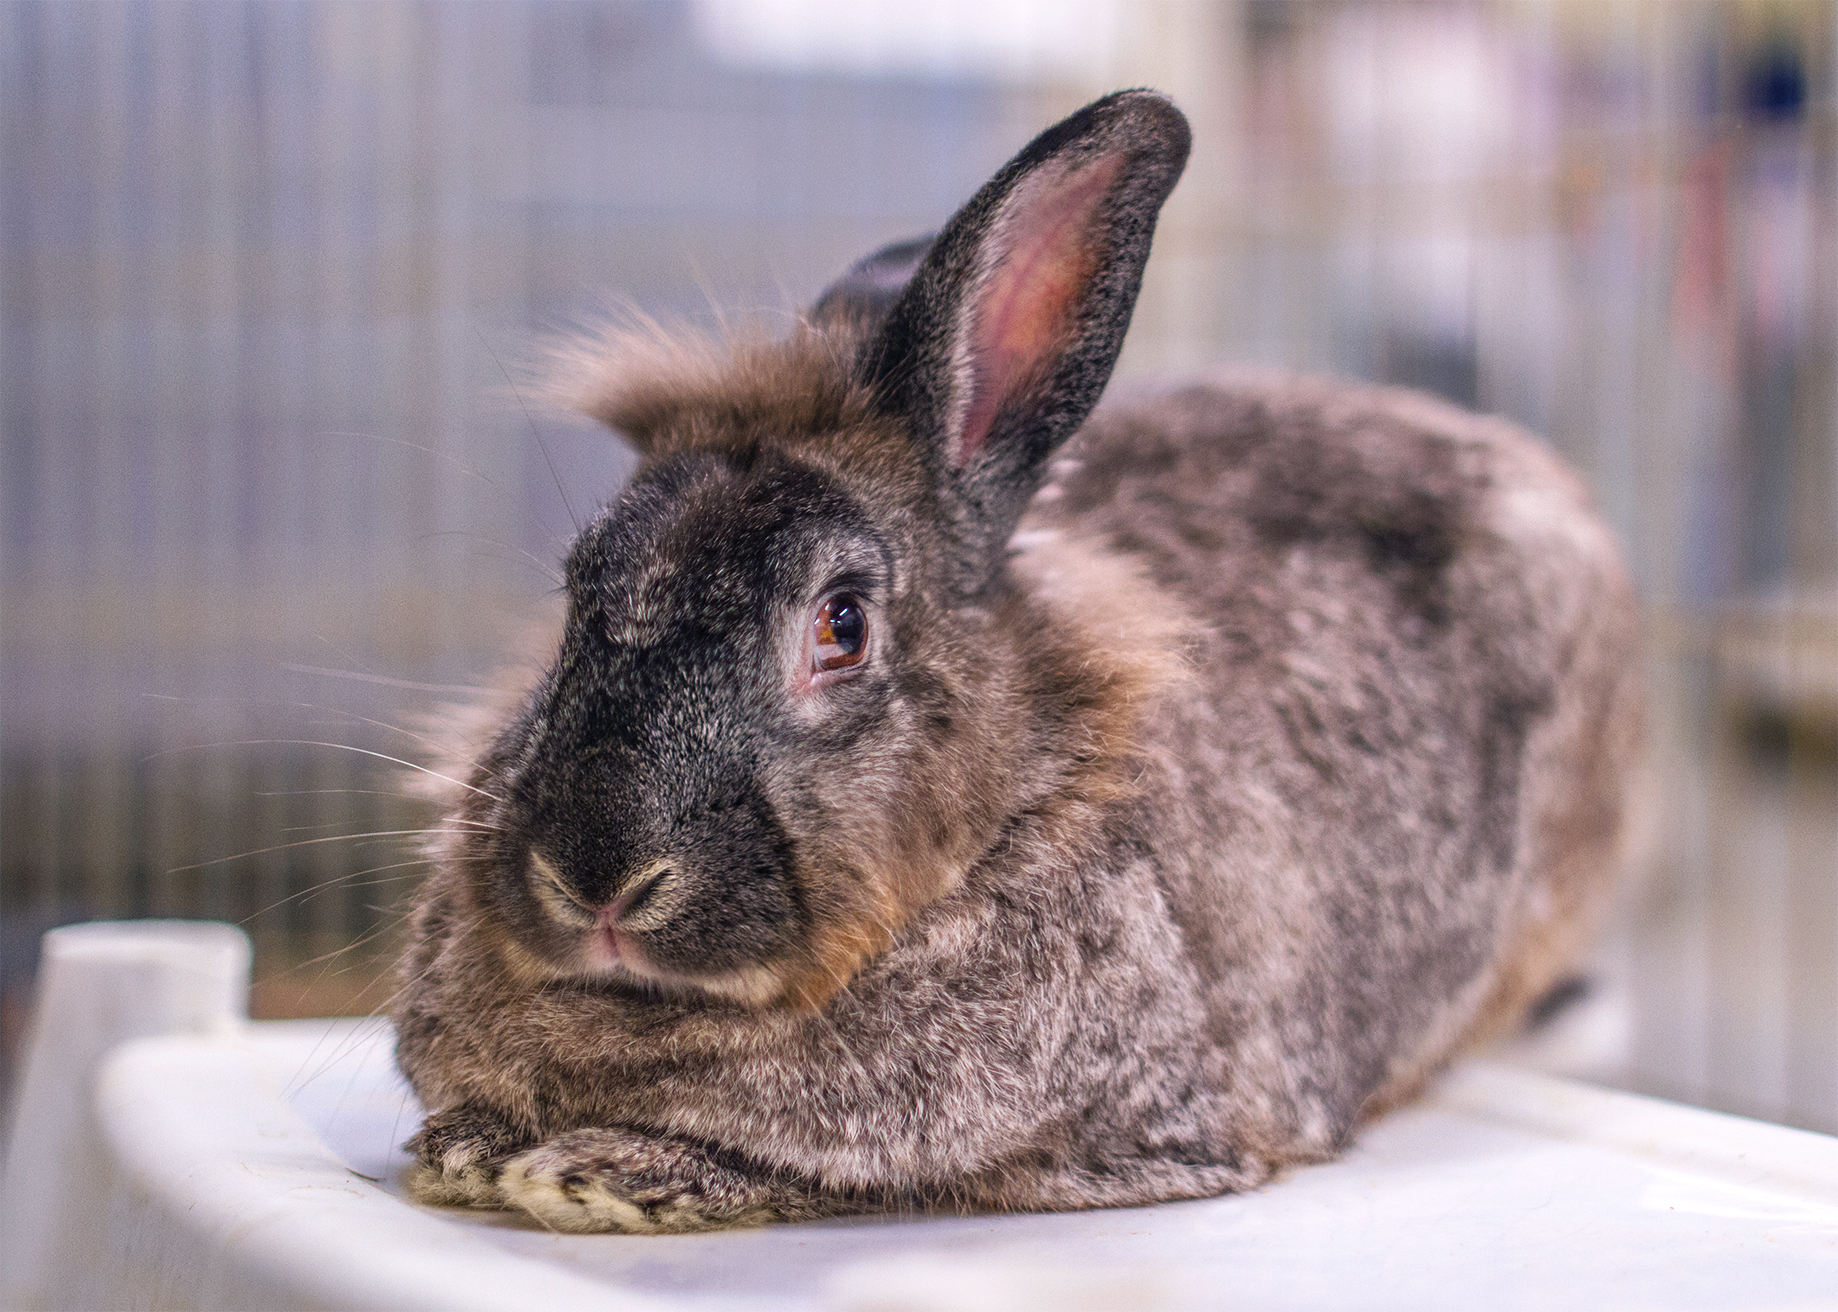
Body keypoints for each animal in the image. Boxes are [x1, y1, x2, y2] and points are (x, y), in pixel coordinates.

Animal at [391, 89, 1644, 1234]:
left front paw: (592, 1172)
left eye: (840, 623)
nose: (594, 875)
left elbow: (817, 1173)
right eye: (577, 587)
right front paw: (465, 1147)